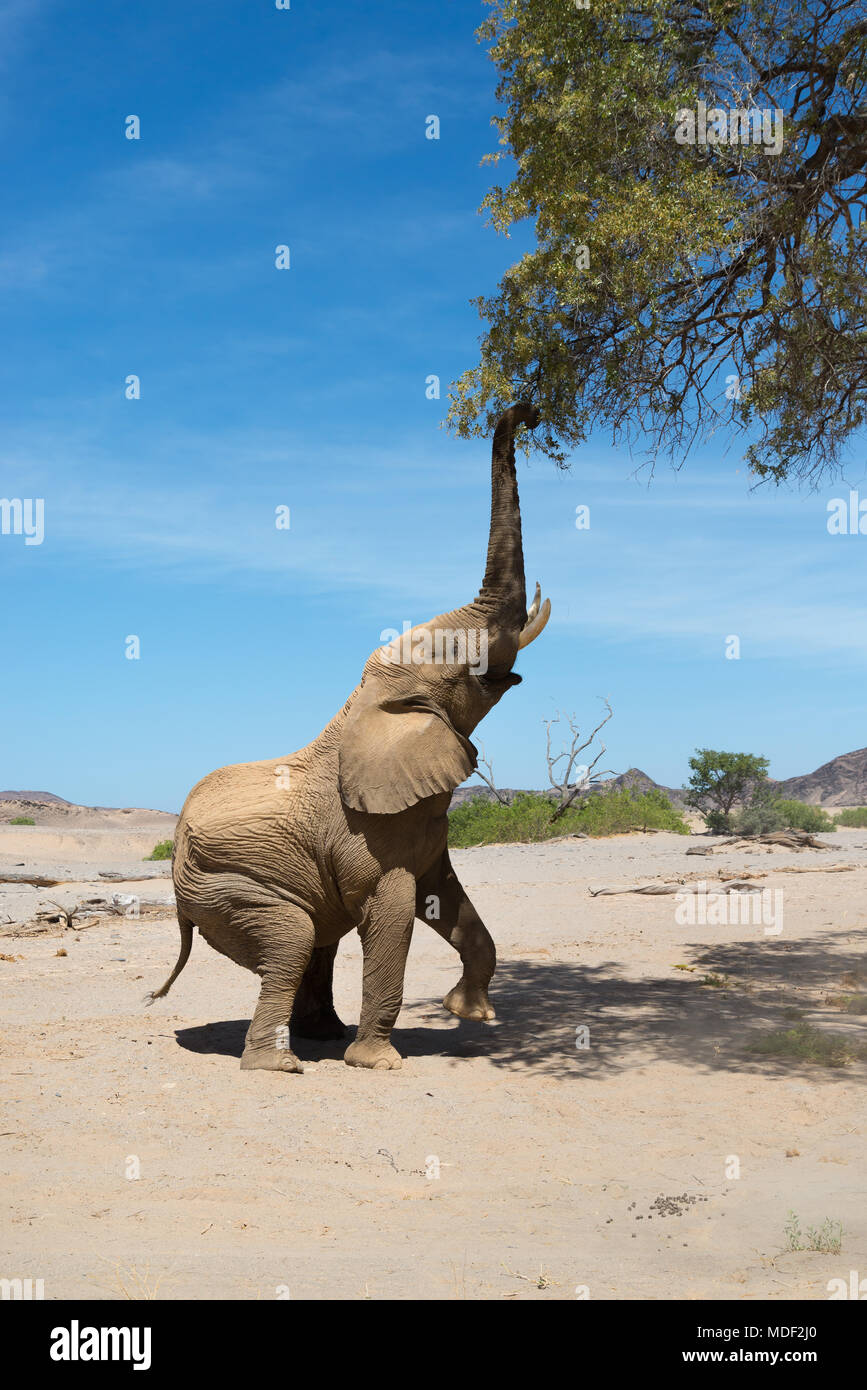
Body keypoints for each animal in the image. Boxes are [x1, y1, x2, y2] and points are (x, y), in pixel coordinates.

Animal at [147, 403, 551, 1071]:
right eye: (457, 666)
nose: (530, 410)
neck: (362, 708)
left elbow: (447, 900)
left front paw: (469, 1014)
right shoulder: (365, 836)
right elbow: (393, 916)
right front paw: (378, 1063)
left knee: (315, 937)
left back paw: (321, 1037)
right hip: (224, 880)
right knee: (293, 936)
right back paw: (280, 1064)